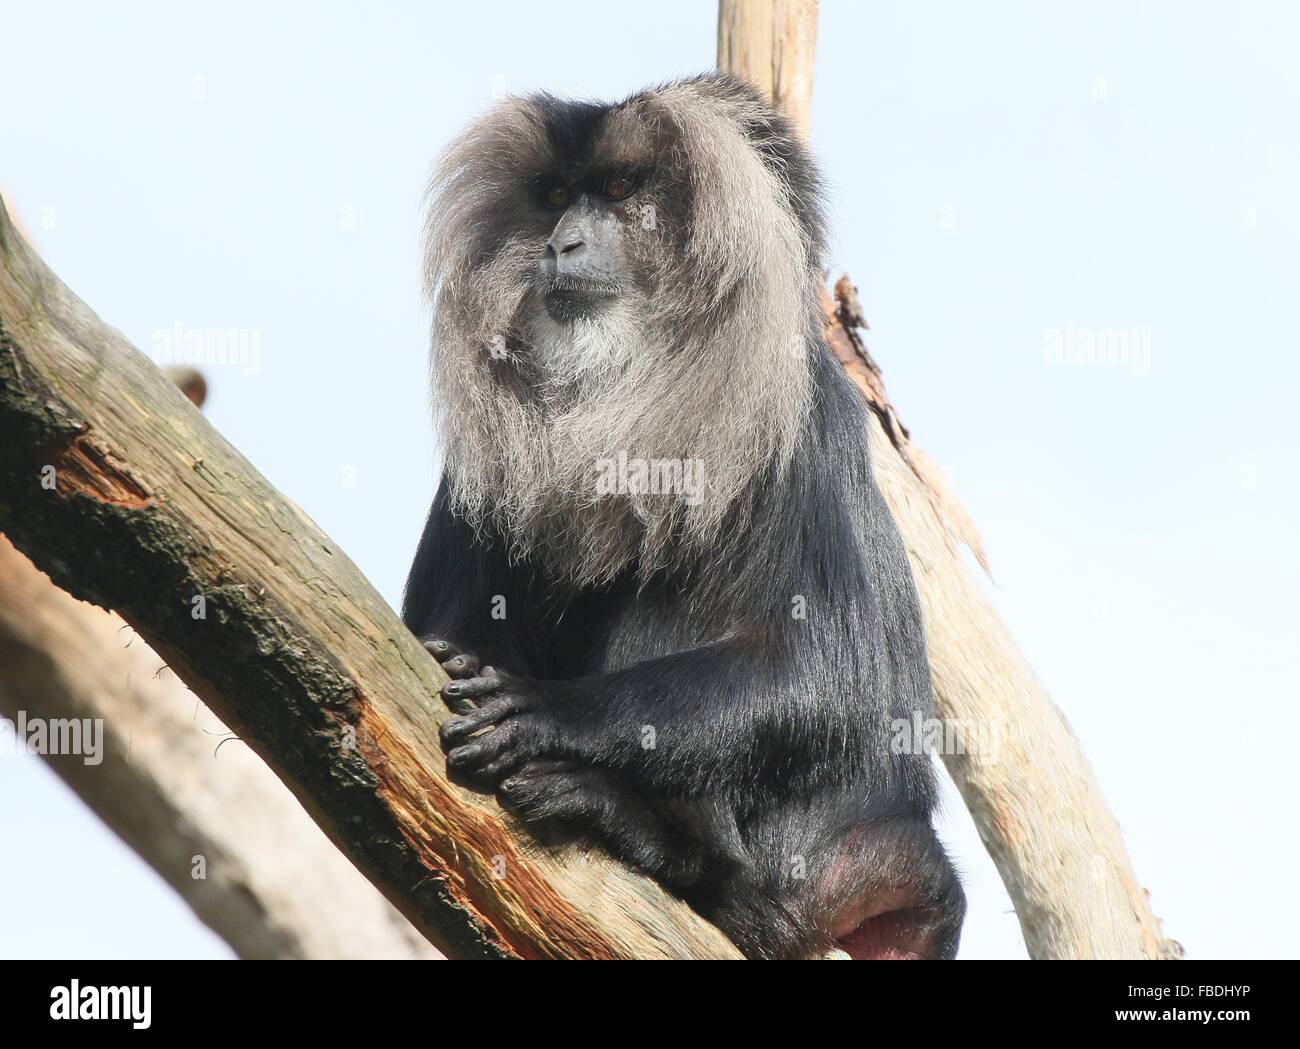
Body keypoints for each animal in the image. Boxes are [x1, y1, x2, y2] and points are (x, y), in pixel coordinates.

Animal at [402, 73, 965, 960]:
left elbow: (832, 676)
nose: (561, 244)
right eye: (555, 197)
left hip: (794, 849)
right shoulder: (476, 474)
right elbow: (438, 627)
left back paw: (650, 832)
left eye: (620, 190)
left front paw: (551, 711)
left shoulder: (802, 426)